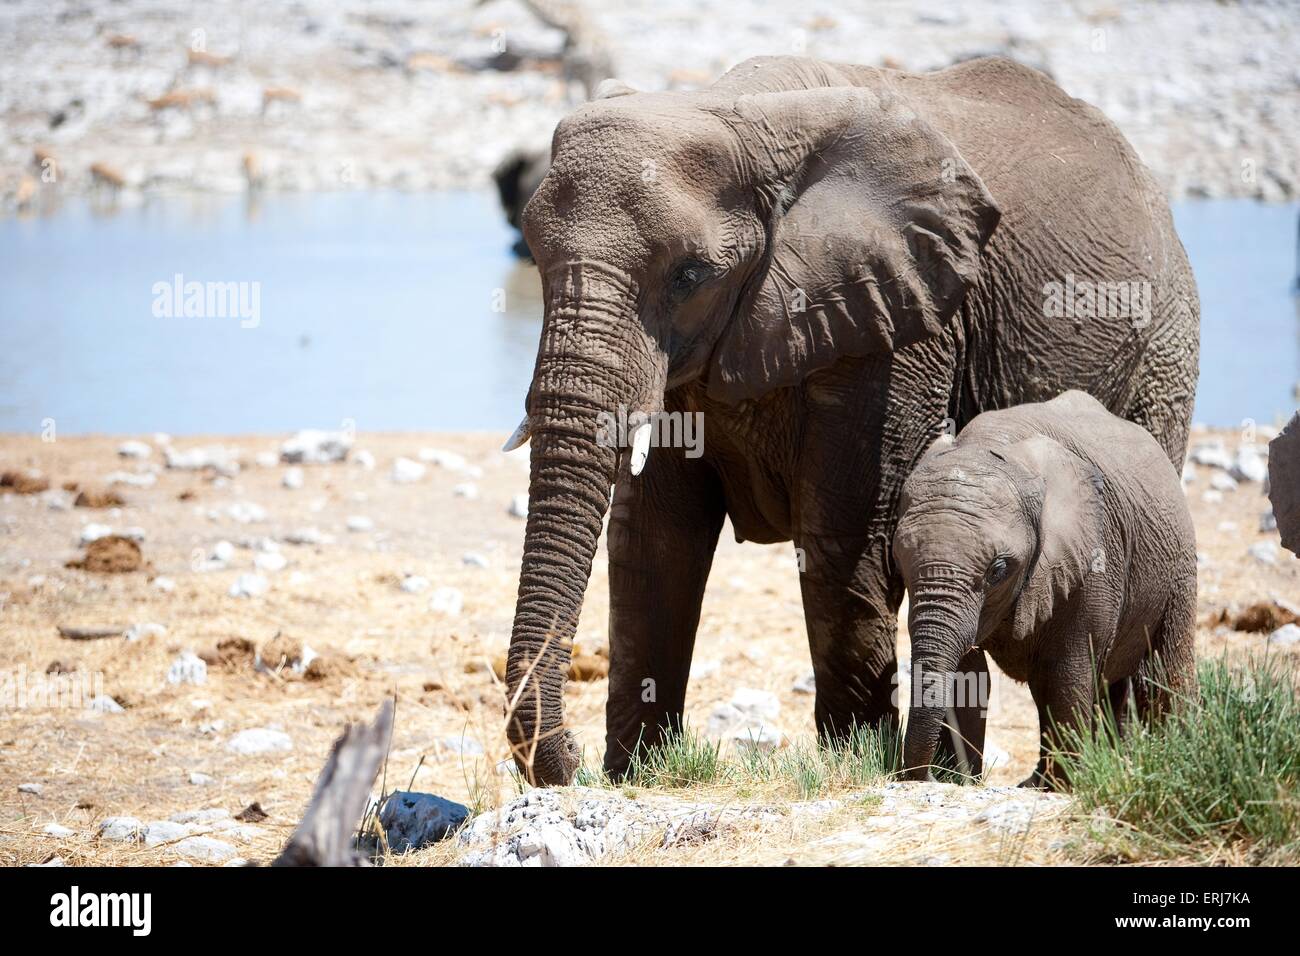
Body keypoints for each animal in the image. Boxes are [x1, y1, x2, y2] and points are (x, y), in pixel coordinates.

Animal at [892, 390, 1199, 788]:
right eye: (899, 560)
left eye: (998, 570)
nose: (921, 777)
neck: (995, 447)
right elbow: (970, 676)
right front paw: (958, 782)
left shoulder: (1094, 556)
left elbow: (1065, 674)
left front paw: (1063, 787)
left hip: (1179, 565)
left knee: (1163, 674)